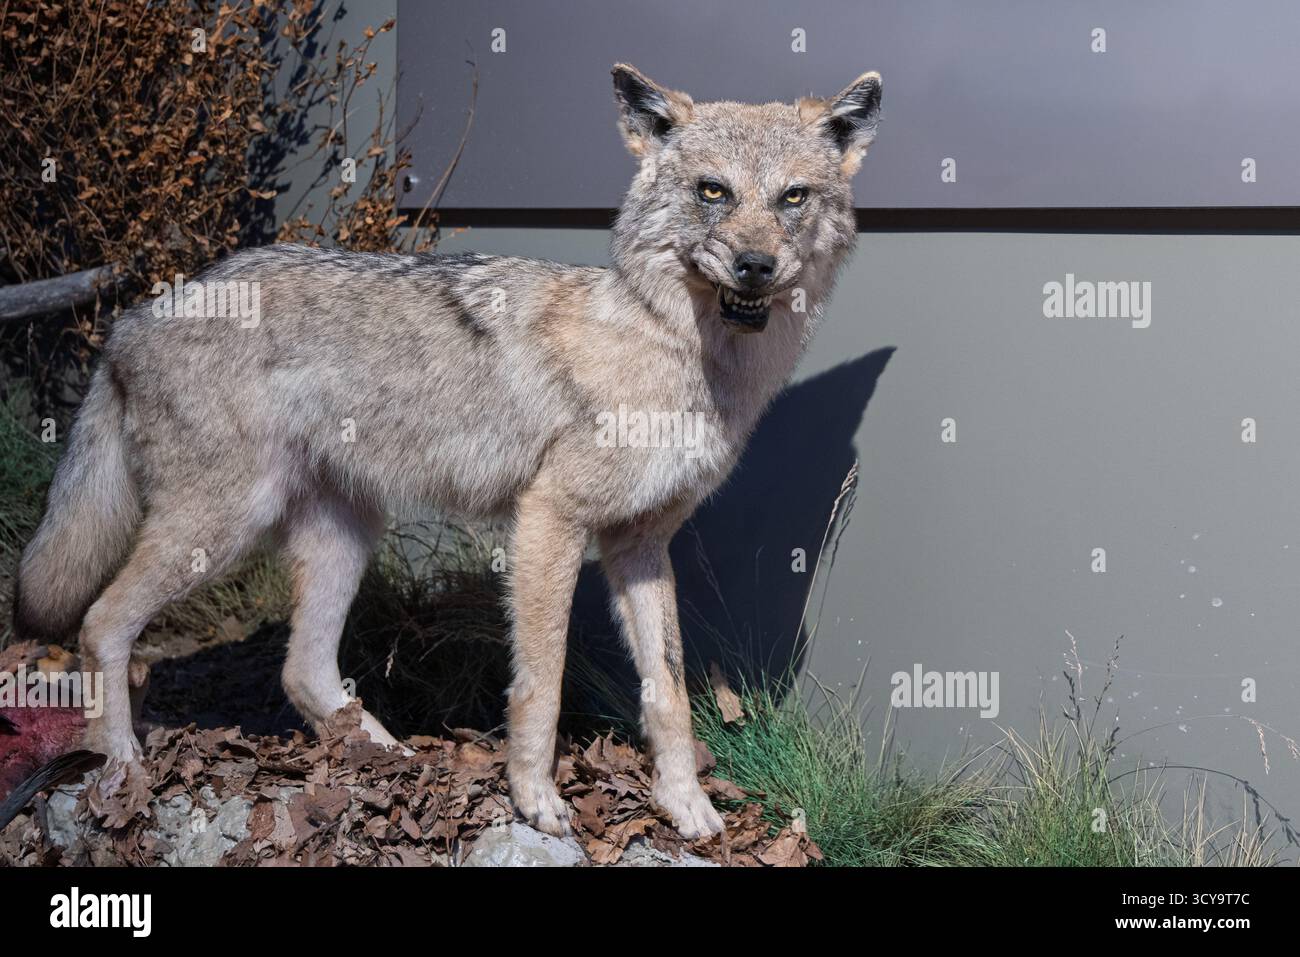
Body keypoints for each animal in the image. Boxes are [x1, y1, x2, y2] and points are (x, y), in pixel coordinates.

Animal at [14, 64, 882, 839]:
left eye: (792, 197)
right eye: (713, 191)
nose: (755, 267)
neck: (679, 357)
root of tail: (130, 319)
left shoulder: (640, 546)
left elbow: (666, 691)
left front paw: (686, 806)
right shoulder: (548, 521)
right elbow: (542, 683)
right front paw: (536, 800)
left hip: (343, 535)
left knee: (304, 670)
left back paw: (394, 763)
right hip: (223, 527)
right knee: (101, 624)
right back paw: (121, 769)